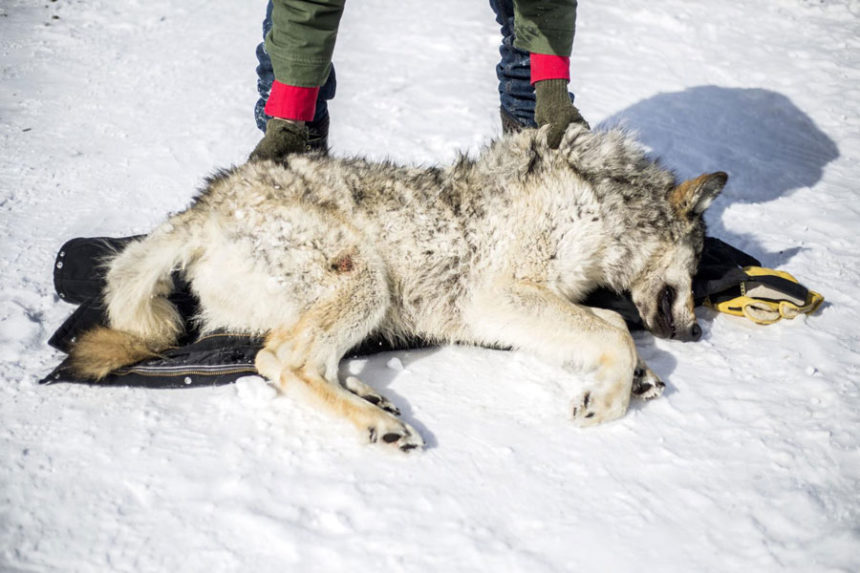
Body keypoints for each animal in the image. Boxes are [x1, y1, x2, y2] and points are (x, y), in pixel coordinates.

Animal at [68, 124, 726, 451]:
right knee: (281, 360)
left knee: (303, 358)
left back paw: (373, 399)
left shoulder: (522, 307)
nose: (698, 333)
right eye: (698, 268)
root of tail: (203, 210)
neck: (602, 204)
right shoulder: (500, 295)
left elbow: (609, 324)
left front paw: (636, 376)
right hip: (365, 280)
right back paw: (379, 426)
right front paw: (607, 402)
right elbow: (615, 331)